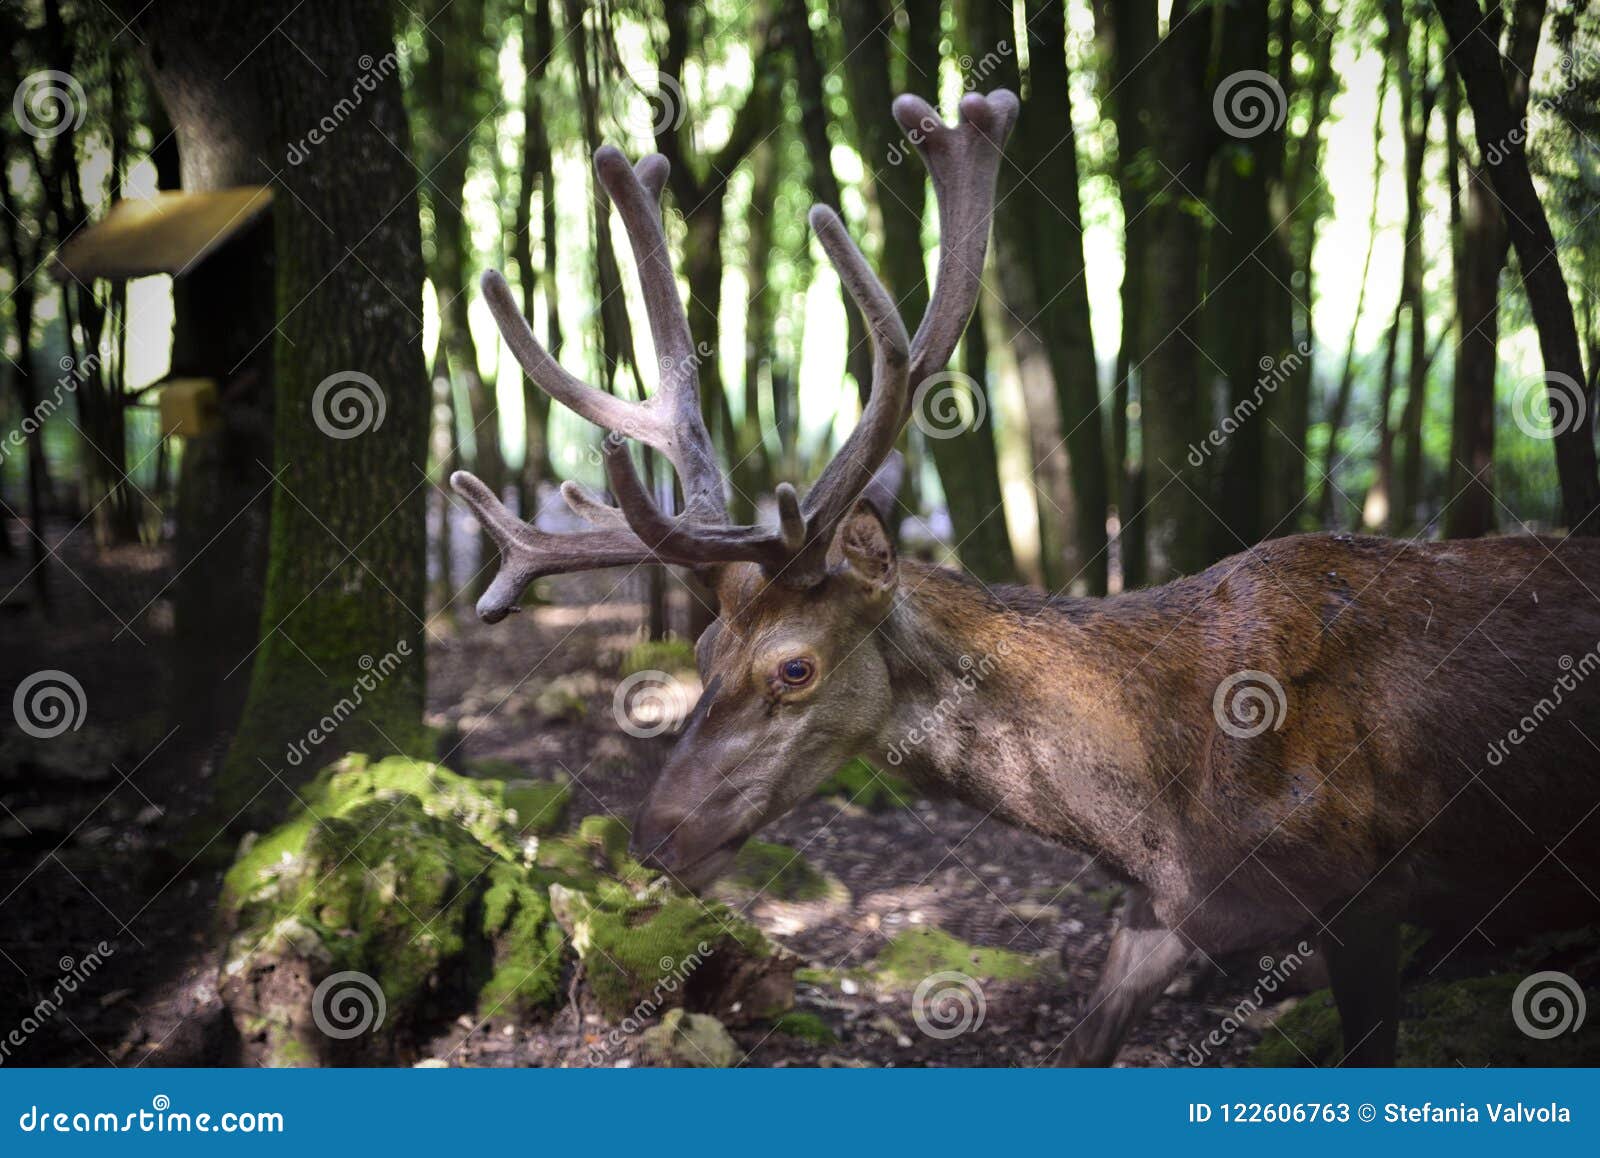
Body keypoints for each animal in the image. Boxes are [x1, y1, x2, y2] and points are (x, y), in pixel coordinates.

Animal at [452, 89, 1600, 1066]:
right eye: (697, 646)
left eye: (793, 668)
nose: (653, 836)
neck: (1163, 806)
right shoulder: (1165, 915)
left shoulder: (1369, 897)